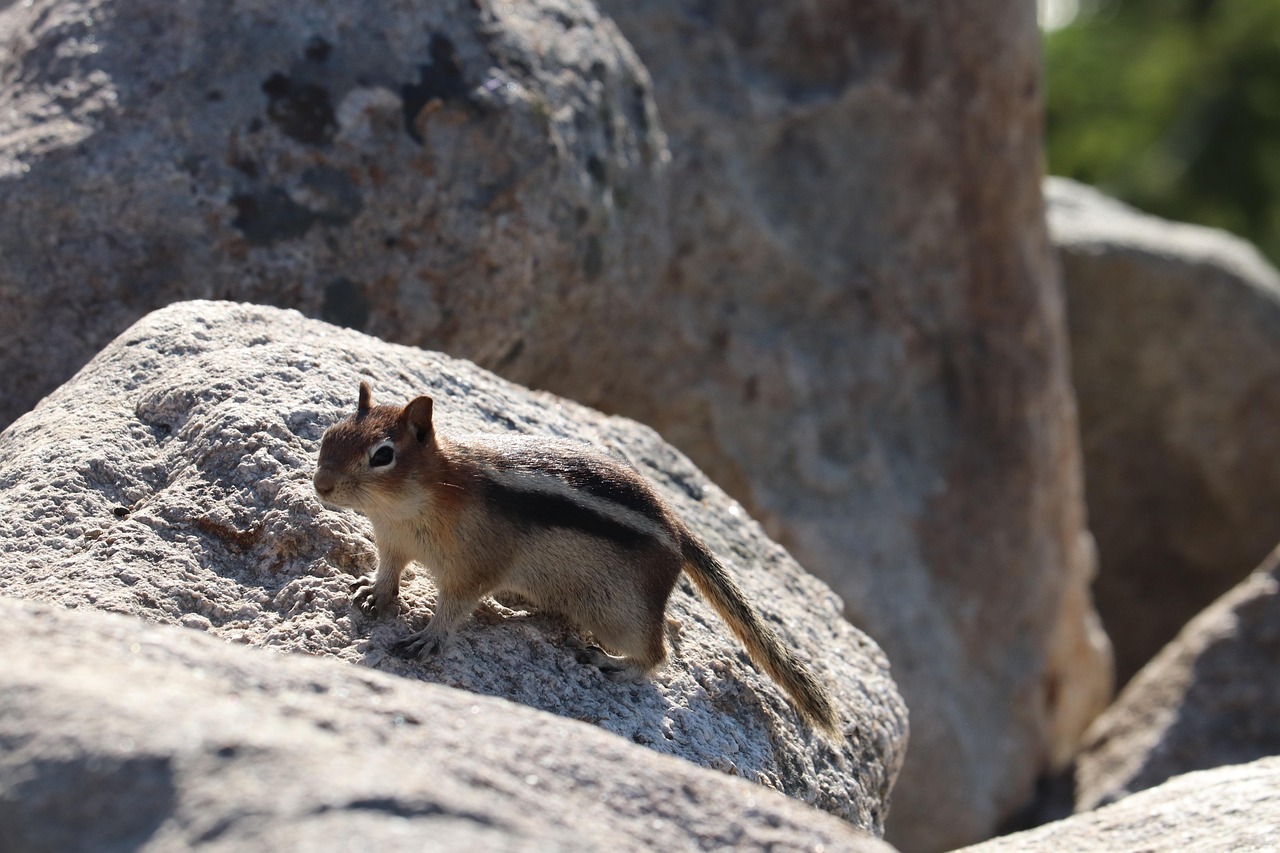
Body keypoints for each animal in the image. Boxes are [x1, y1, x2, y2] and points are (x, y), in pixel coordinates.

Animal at [313, 382, 840, 735]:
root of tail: (677, 528)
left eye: (383, 455)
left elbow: (454, 607)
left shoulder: (473, 567)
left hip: (617, 611)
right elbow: (388, 572)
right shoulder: (393, 542)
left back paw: (614, 663)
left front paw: (427, 639)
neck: (413, 505)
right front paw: (372, 593)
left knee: (659, 651)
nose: (321, 485)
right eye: (330, 434)